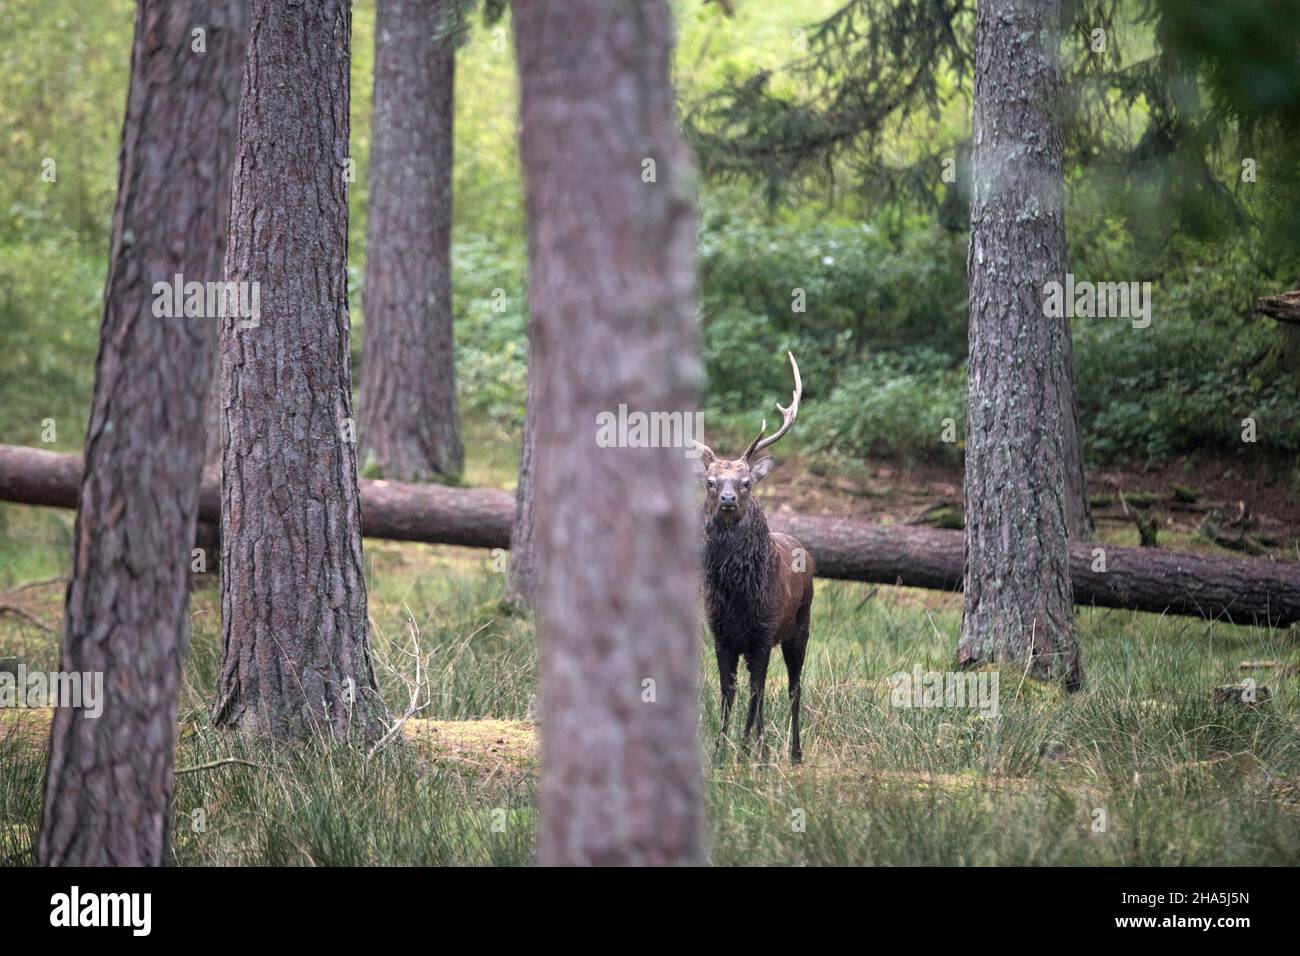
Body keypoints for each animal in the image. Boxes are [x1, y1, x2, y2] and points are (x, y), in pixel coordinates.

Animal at [692, 352, 814, 764]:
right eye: (710, 482)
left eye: (746, 482)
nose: (728, 499)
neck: (739, 595)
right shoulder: (722, 635)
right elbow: (728, 691)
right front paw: (722, 749)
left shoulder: (762, 632)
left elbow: (758, 690)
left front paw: (749, 748)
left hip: (800, 627)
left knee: (793, 688)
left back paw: (793, 752)